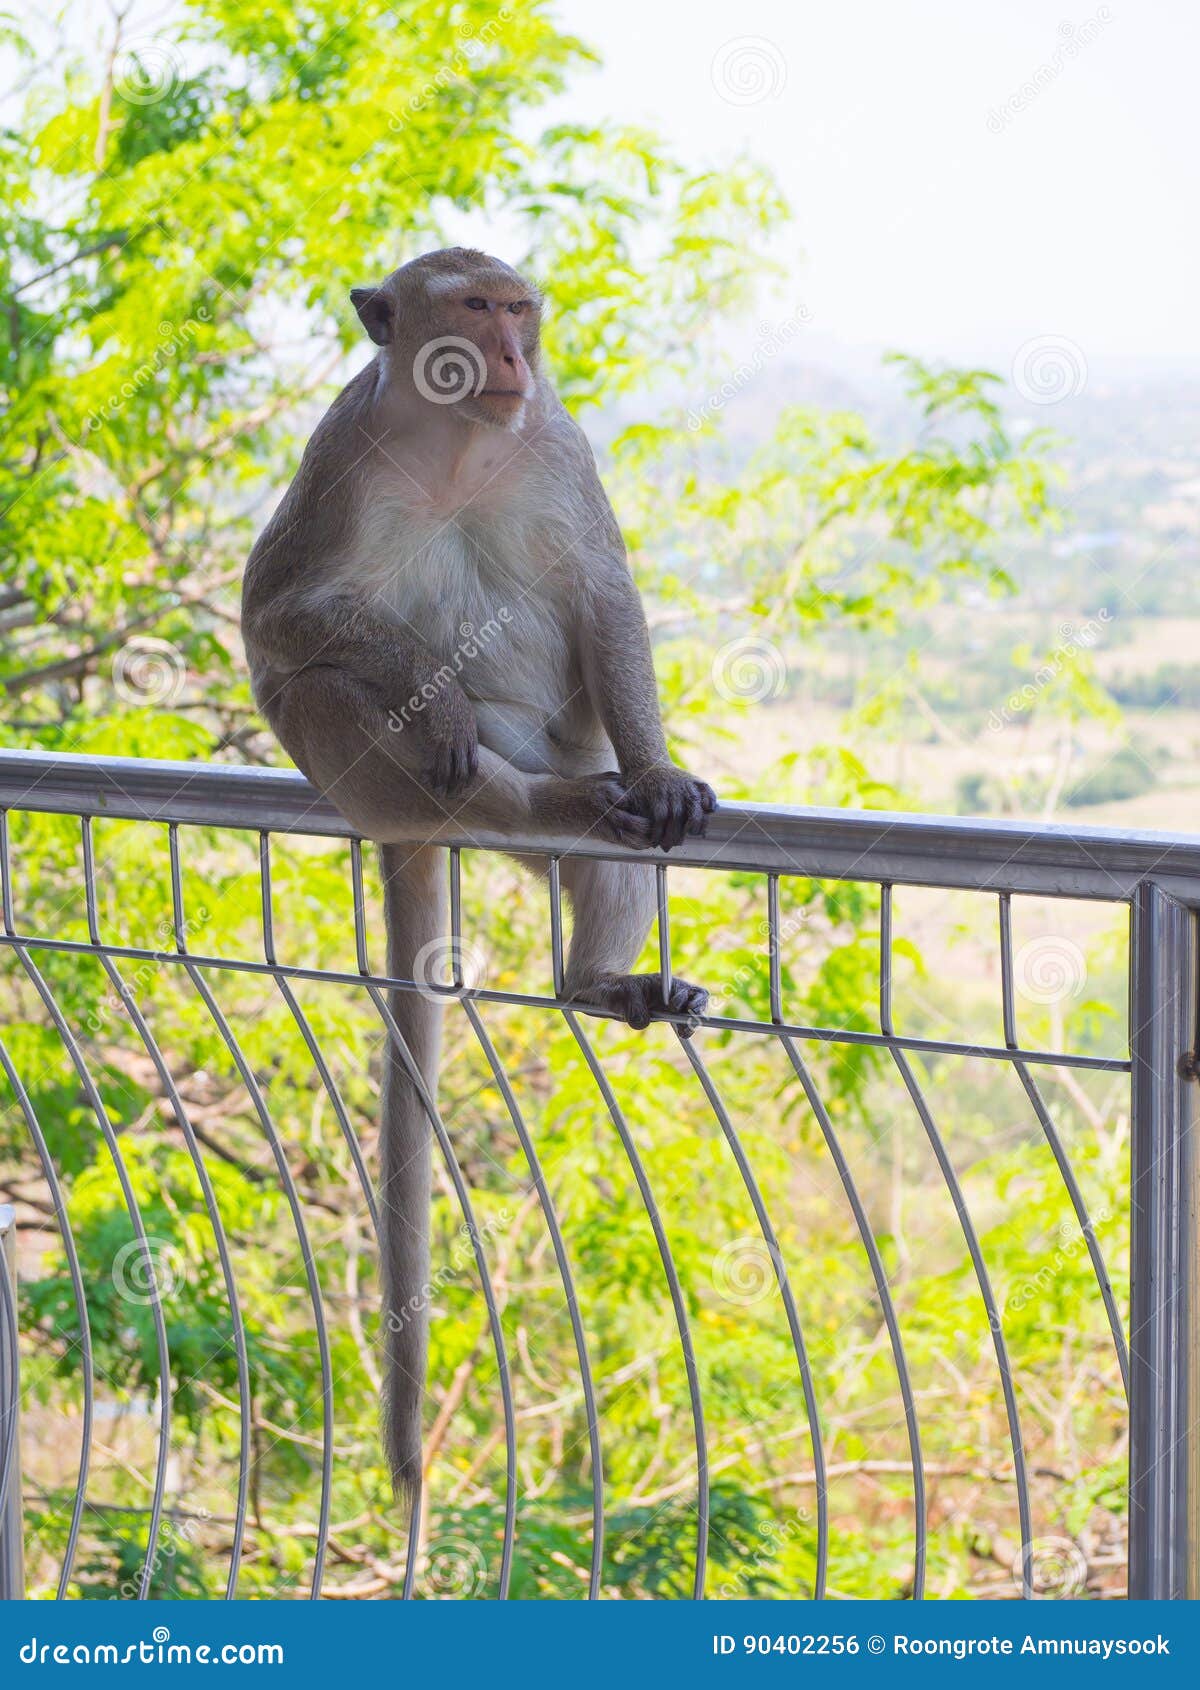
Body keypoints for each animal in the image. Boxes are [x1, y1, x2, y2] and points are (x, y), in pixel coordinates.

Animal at [241, 247, 717, 1504]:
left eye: (517, 309)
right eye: (470, 310)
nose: (510, 351)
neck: (456, 440)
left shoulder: (557, 445)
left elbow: (603, 597)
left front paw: (660, 770)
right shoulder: (340, 460)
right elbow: (285, 613)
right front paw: (440, 702)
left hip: (552, 758)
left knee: (604, 837)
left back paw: (599, 963)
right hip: (358, 779)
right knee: (331, 688)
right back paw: (494, 783)